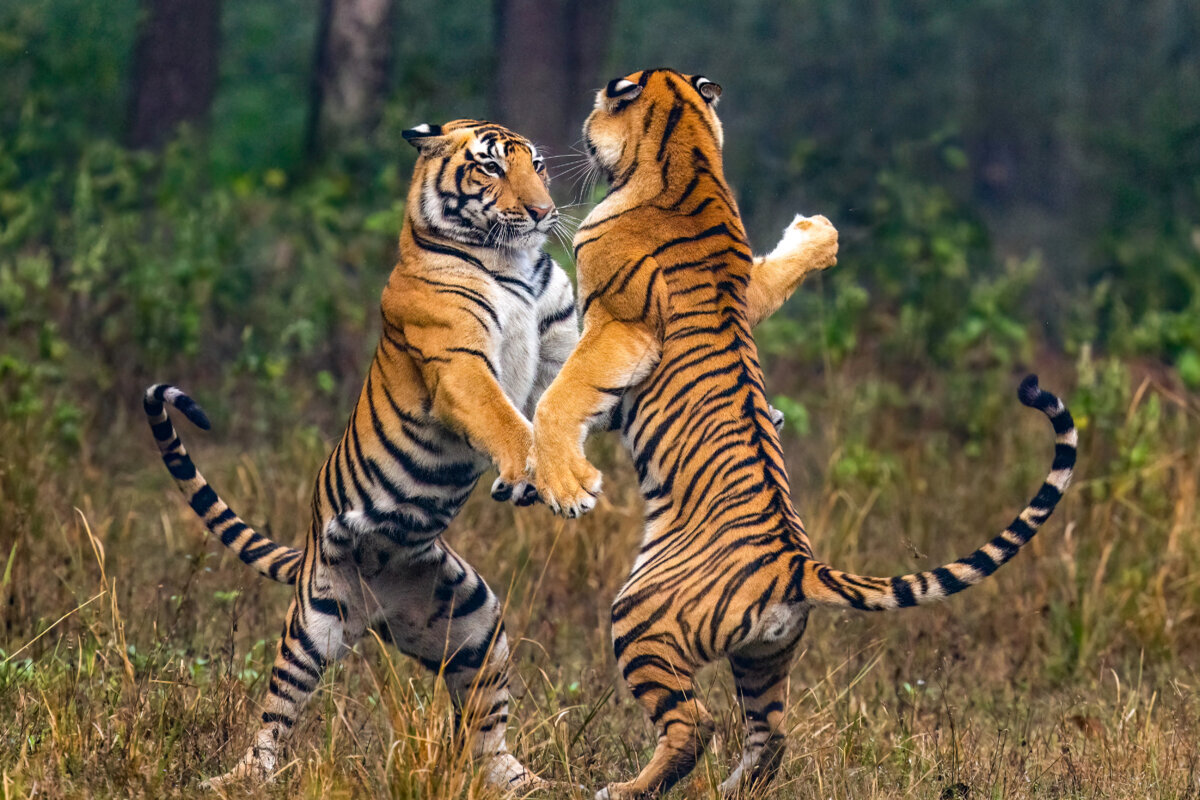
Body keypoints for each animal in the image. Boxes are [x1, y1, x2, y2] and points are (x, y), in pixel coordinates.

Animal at [143, 117, 835, 790]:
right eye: (491, 166)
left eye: (538, 165)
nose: (542, 211)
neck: (513, 261)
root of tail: (365, 585)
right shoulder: (459, 360)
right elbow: (505, 418)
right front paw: (551, 482)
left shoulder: (564, 340)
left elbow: (582, 397)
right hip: (315, 619)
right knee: (278, 707)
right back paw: (236, 777)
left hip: (471, 623)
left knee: (483, 730)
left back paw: (531, 783)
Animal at [527, 68, 1078, 799]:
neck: (686, 152)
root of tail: (795, 565)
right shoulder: (748, 290)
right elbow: (776, 275)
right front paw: (819, 234)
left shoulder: (621, 325)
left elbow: (566, 389)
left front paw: (566, 482)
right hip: (764, 656)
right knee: (770, 737)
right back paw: (731, 789)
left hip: (640, 618)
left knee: (695, 725)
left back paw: (628, 789)